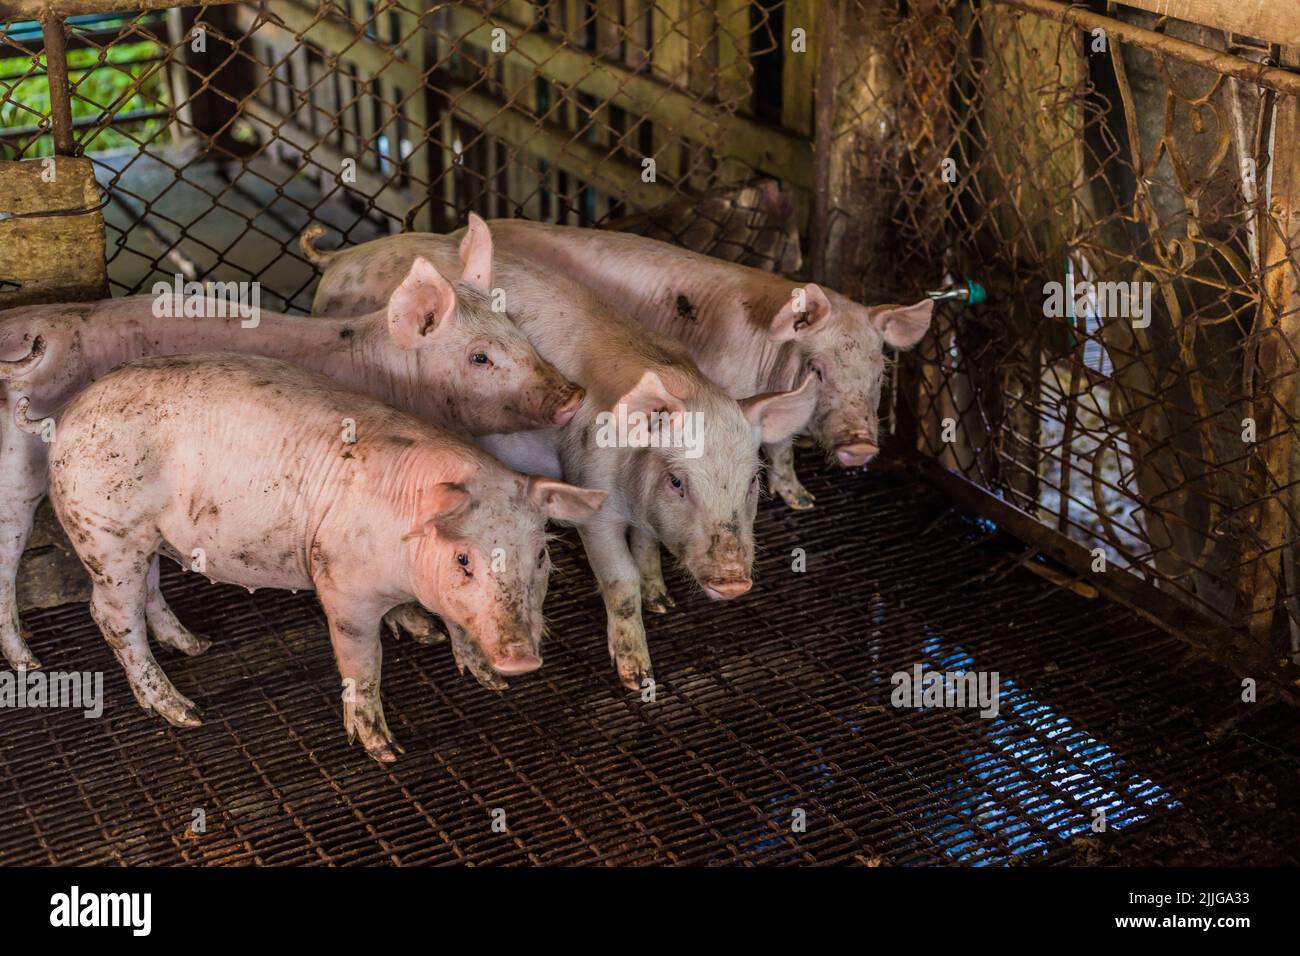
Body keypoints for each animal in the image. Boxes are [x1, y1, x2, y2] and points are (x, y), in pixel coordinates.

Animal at [0, 214, 583, 671]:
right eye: (480, 356)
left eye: (519, 332)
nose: (574, 394)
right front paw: (421, 628)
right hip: (19, 486)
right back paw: (31, 662)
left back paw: (194, 645)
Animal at [18, 352, 606, 761]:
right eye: (464, 559)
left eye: (541, 556)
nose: (522, 659)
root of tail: (66, 413)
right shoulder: (342, 586)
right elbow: (362, 664)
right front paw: (386, 751)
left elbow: (453, 623)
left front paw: (485, 678)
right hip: (105, 529)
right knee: (110, 615)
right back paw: (185, 712)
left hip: (144, 537)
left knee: (150, 590)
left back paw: (196, 644)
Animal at [303, 225, 815, 689]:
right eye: (677, 481)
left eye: (753, 481)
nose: (733, 580)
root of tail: (343, 257)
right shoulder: (593, 495)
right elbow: (620, 580)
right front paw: (638, 678)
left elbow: (647, 547)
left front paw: (662, 601)